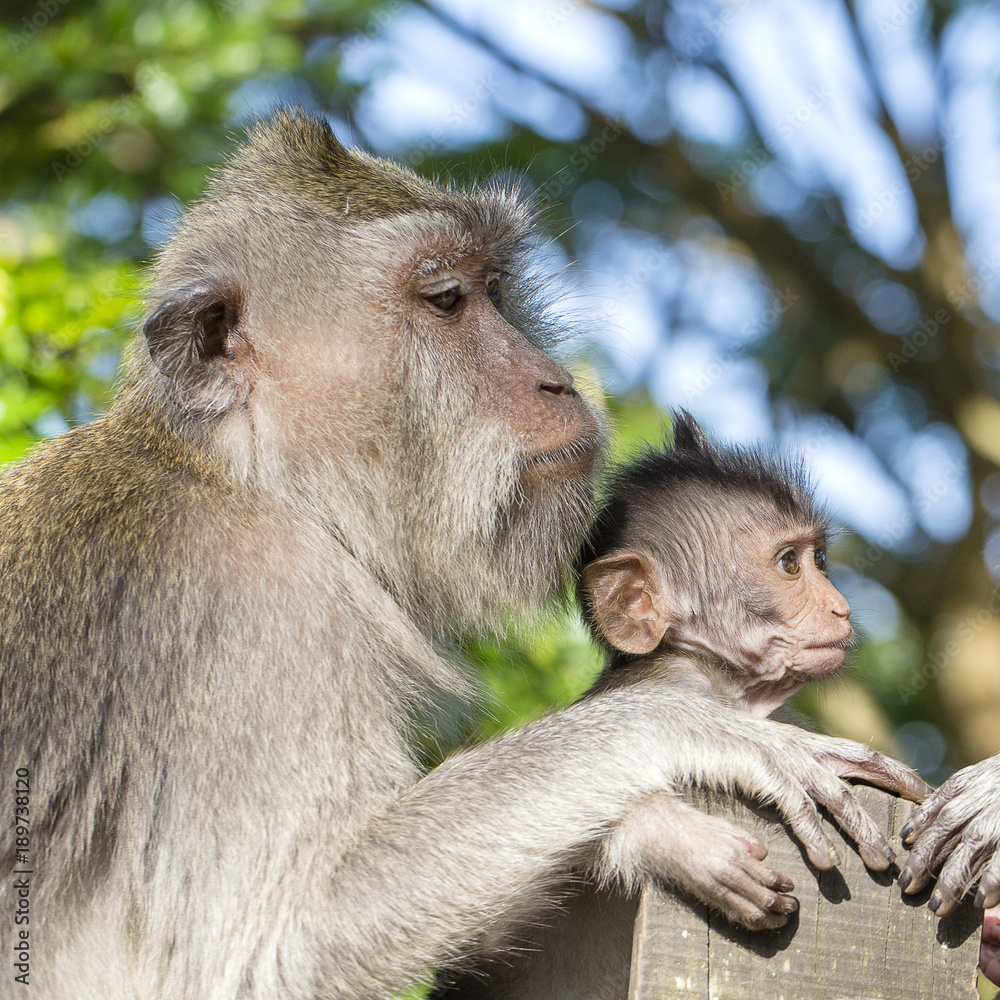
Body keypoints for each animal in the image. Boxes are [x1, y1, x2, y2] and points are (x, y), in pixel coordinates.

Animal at [432, 413, 894, 1000]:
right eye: (791, 565)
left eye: (821, 561)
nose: (841, 608)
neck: (724, 685)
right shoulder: (667, 689)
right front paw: (671, 839)